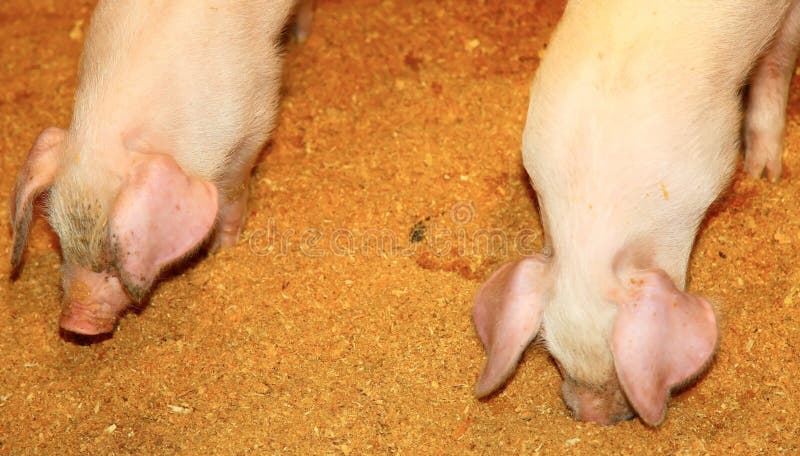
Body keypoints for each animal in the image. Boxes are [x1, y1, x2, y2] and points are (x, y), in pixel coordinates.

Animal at [10, 0, 313, 336]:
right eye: (60, 240)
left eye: (116, 257)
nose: (75, 324)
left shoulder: (257, 113)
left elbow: (234, 189)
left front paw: (222, 250)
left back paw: (301, 37)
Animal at [473, 0, 800, 425]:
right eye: (556, 355)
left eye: (621, 360)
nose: (594, 418)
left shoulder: (709, 163)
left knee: (780, 56)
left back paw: (765, 173)